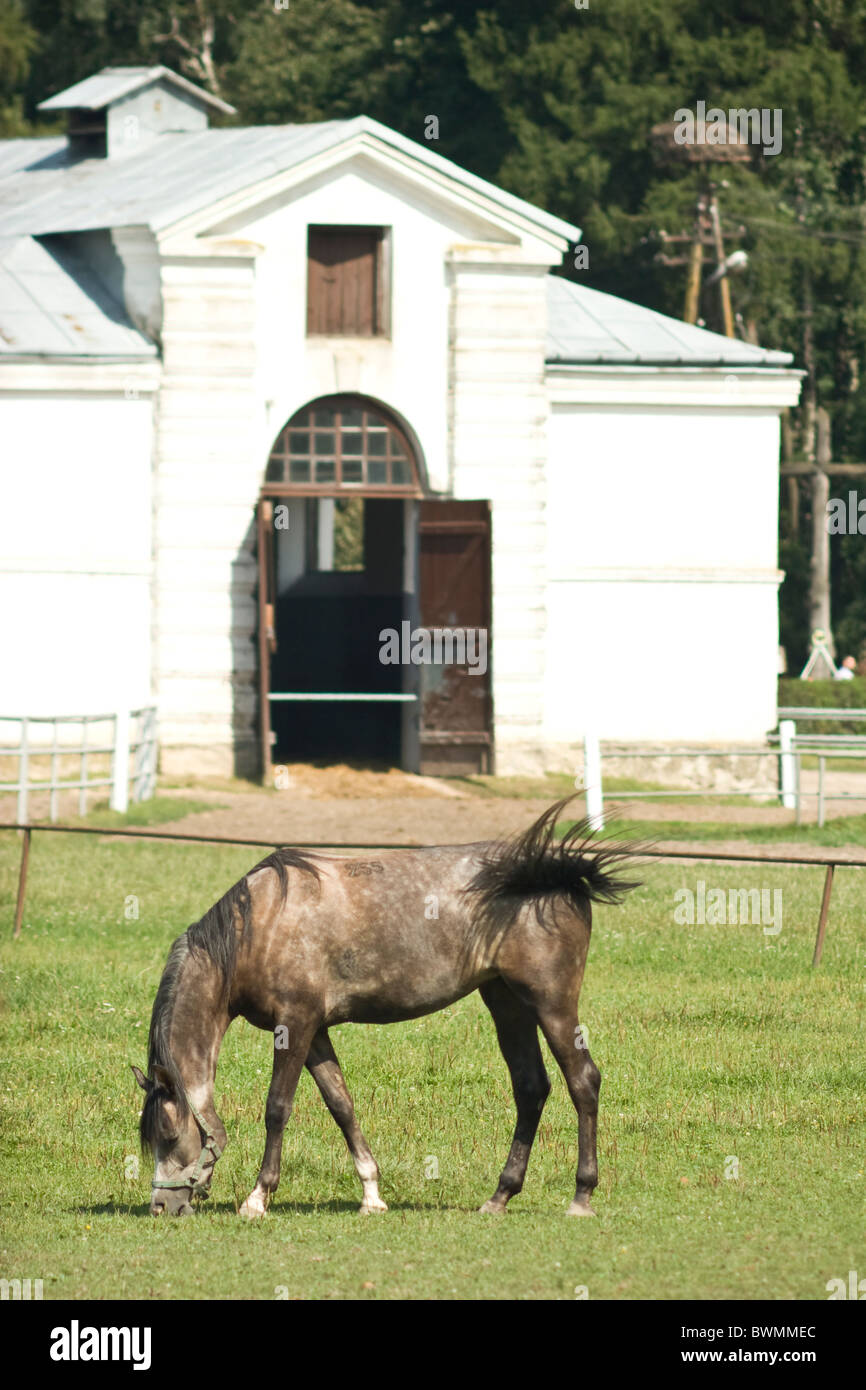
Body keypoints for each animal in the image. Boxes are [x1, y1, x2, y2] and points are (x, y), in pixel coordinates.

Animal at [132, 797, 640, 1219]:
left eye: (169, 1136)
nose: (161, 1207)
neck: (257, 925)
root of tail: (559, 873)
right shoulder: (315, 1031)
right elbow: (341, 1104)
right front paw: (372, 1194)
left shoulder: (294, 1025)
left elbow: (277, 1107)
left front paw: (257, 1199)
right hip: (507, 1003)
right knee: (531, 1088)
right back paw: (499, 1196)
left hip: (553, 1004)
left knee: (583, 1082)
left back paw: (581, 1196)